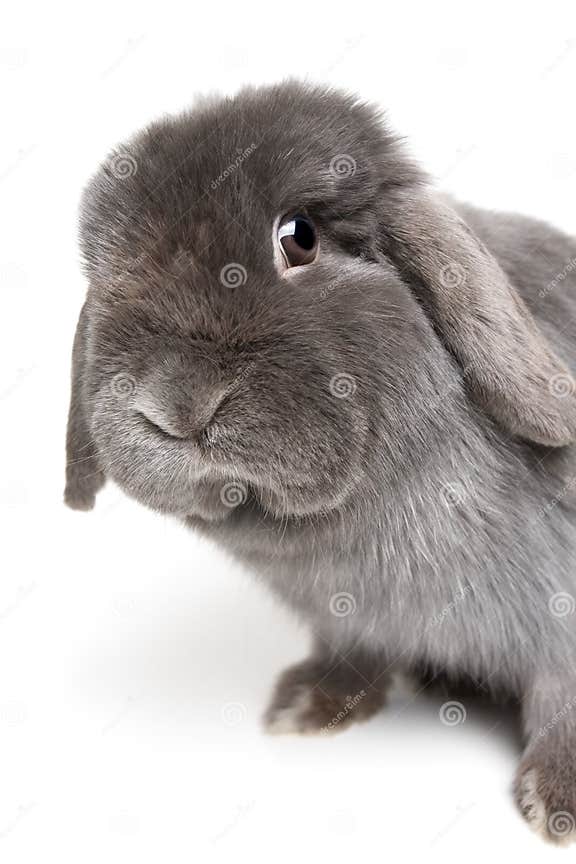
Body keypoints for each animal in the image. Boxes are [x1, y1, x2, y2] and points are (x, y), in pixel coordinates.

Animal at [64, 81, 576, 844]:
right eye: (106, 273)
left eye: (298, 237)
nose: (175, 403)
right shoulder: (345, 619)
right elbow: (350, 652)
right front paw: (307, 704)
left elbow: (560, 700)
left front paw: (558, 801)